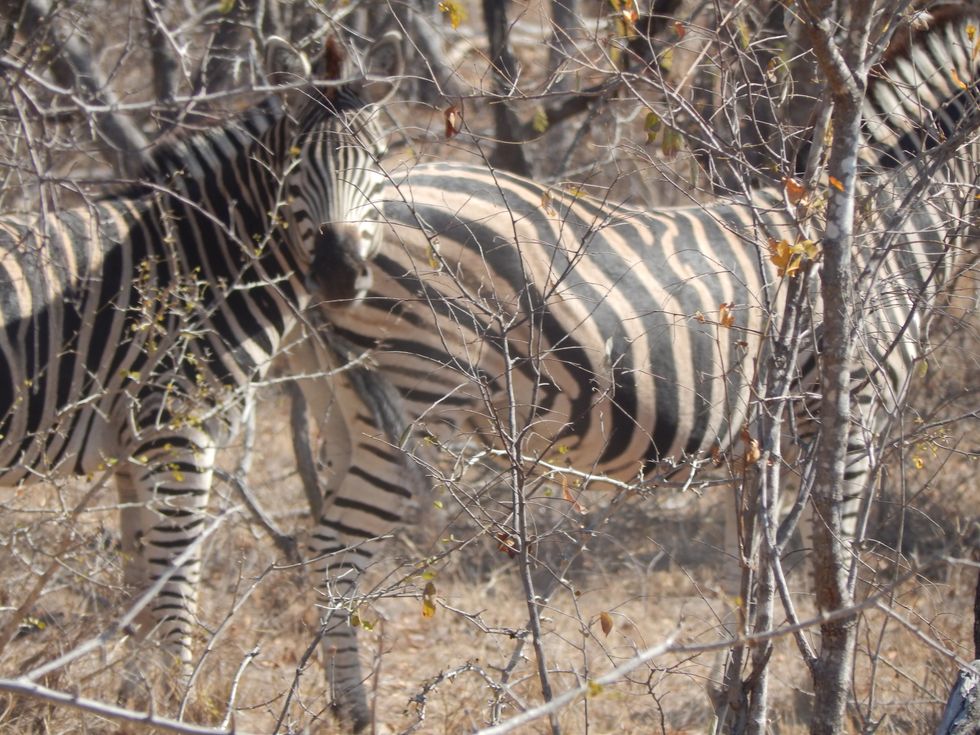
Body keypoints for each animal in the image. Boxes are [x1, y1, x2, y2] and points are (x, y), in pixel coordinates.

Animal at [0, 53, 388, 686]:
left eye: (377, 160)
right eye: (296, 165)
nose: (338, 272)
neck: (203, 260)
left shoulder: (130, 449)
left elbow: (140, 591)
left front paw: (138, 698)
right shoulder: (174, 432)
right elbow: (176, 589)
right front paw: (181, 696)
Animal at [287, 7, 978, 730]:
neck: (885, 220)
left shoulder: (755, 441)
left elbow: (747, 572)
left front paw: (736, 692)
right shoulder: (848, 414)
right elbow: (834, 577)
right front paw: (825, 695)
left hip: (342, 406)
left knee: (325, 544)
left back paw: (340, 703)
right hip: (420, 401)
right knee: (334, 553)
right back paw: (358, 713)